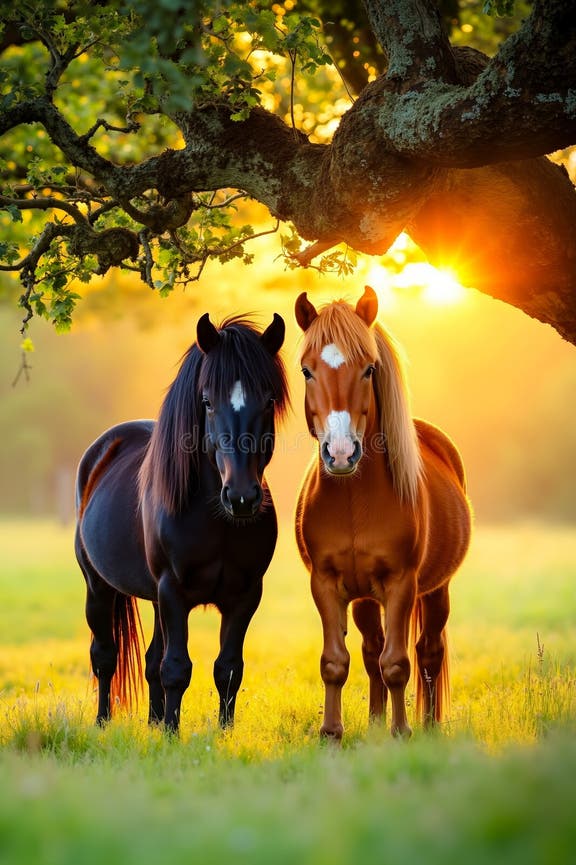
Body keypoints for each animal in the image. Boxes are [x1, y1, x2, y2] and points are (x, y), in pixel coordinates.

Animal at [75, 312, 288, 732]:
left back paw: (153, 722)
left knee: (150, 660)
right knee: (105, 656)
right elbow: (176, 667)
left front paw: (221, 733)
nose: (242, 497)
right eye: (207, 401)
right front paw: (173, 735)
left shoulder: (245, 595)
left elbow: (227, 669)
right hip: (98, 587)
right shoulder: (173, 590)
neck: (217, 520)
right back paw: (104, 722)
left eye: (269, 399)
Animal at [294, 286, 471, 741]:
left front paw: (402, 734)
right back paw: (374, 725)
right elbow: (336, 662)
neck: (354, 500)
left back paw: (427, 727)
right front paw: (332, 735)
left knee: (428, 650)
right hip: (362, 597)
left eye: (369, 369)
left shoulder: (401, 584)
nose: (341, 453)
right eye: (306, 371)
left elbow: (397, 664)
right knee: (371, 650)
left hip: (436, 590)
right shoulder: (325, 583)